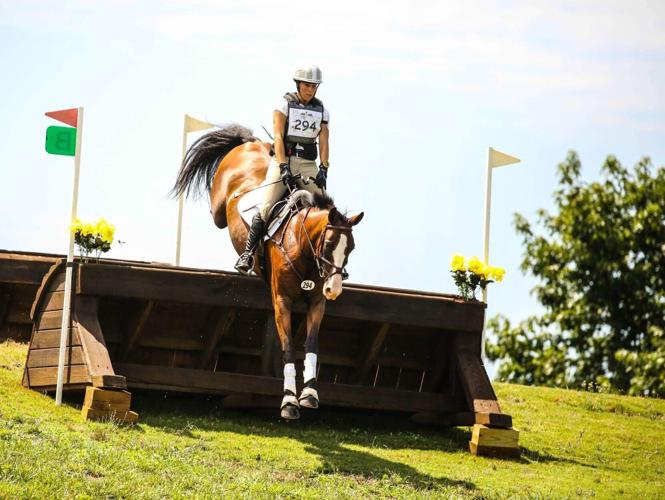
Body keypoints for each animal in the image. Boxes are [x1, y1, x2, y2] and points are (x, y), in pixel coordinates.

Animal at [172, 124, 363, 420]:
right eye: (330, 244)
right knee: (222, 215)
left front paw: (309, 394)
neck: (302, 246)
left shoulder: (316, 303)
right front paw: (289, 401)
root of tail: (249, 143)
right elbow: (288, 348)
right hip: (219, 210)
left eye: (351, 248)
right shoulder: (282, 301)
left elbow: (311, 345)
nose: (334, 289)